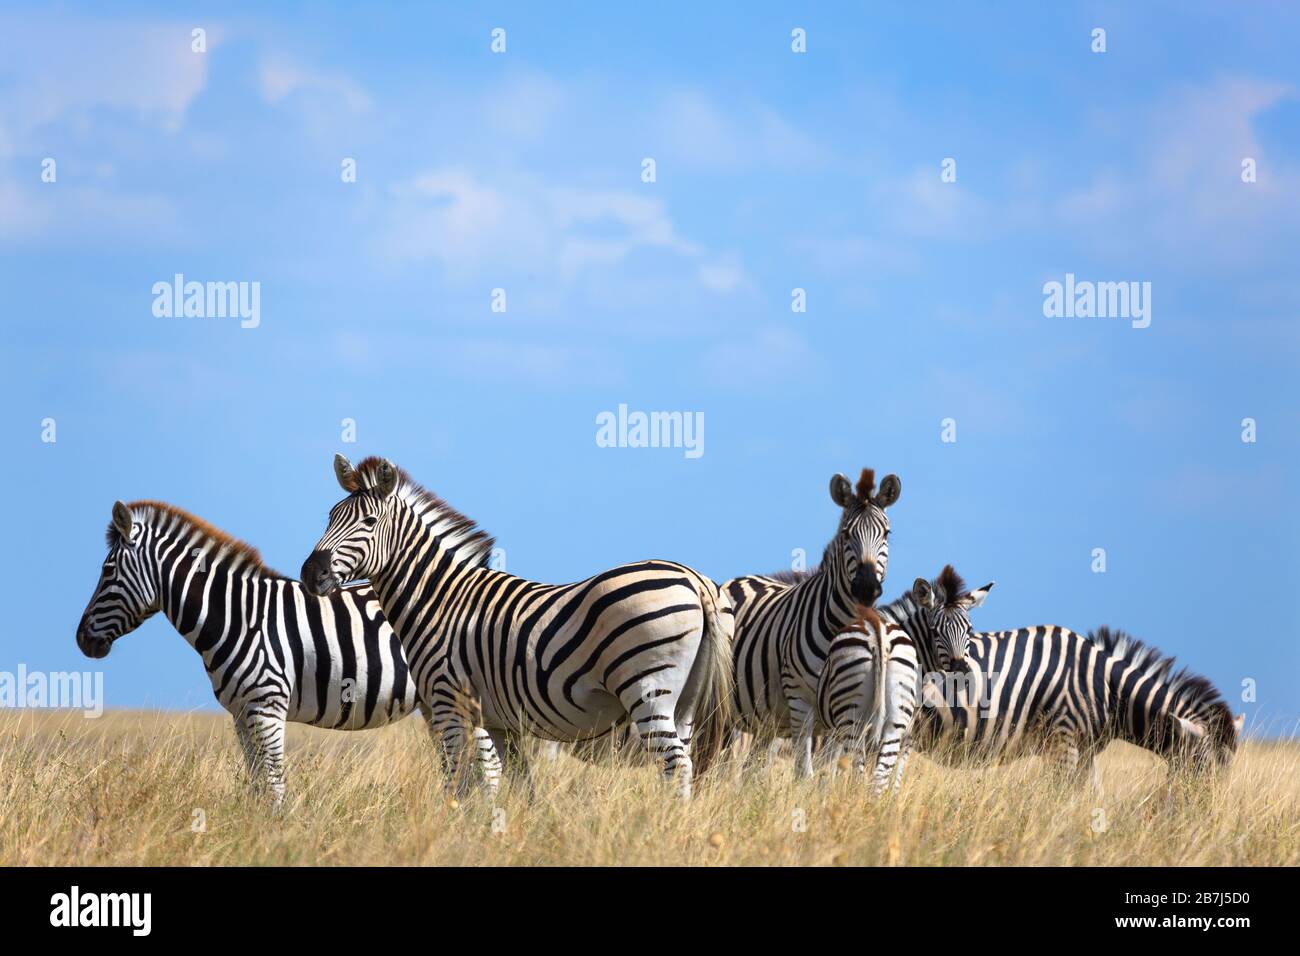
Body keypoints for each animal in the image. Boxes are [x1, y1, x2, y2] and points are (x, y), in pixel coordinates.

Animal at [73, 499, 475, 806]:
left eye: (107, 571)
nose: (81, 640)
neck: (237, 616)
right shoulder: (241, 713)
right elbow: (256, 784)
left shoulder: (266, 707)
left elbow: (274, 786)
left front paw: (276, 834)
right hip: (434, 703)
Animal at [300, 454, 734, 799]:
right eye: (330, 517)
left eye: (369, 521)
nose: (310, 573)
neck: (438, 598)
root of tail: (694, 579)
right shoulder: (500, 722)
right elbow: (517, 786)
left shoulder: (448, 703)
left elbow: (458, 782)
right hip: (686, 701)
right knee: (681, 762)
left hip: (647, 689)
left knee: (676, 764)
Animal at [724, 468, 900, 777]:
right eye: (846, 534)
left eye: (886, 533)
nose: (867, 588)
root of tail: (742, 578)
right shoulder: (799, 702)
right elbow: (804, 772)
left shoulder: (837, 715)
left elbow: (826, 774)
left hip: (766, 716)